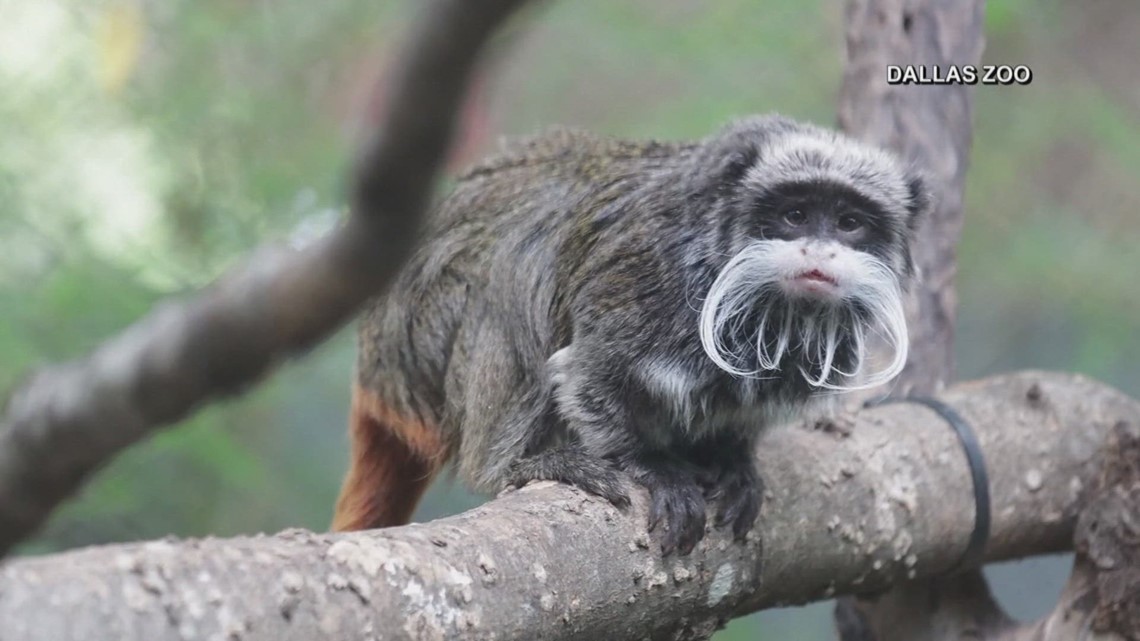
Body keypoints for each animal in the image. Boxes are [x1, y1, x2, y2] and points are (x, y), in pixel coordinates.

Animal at [332, 114, 928, 556]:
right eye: (795, 214)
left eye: (850, 223)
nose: (820, 251)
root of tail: (374, 366)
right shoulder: (645, 281)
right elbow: (586, 376)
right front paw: (653, 467)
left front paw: (734, 459)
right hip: (420, 343)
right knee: (514, 270)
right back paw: (517, 463)